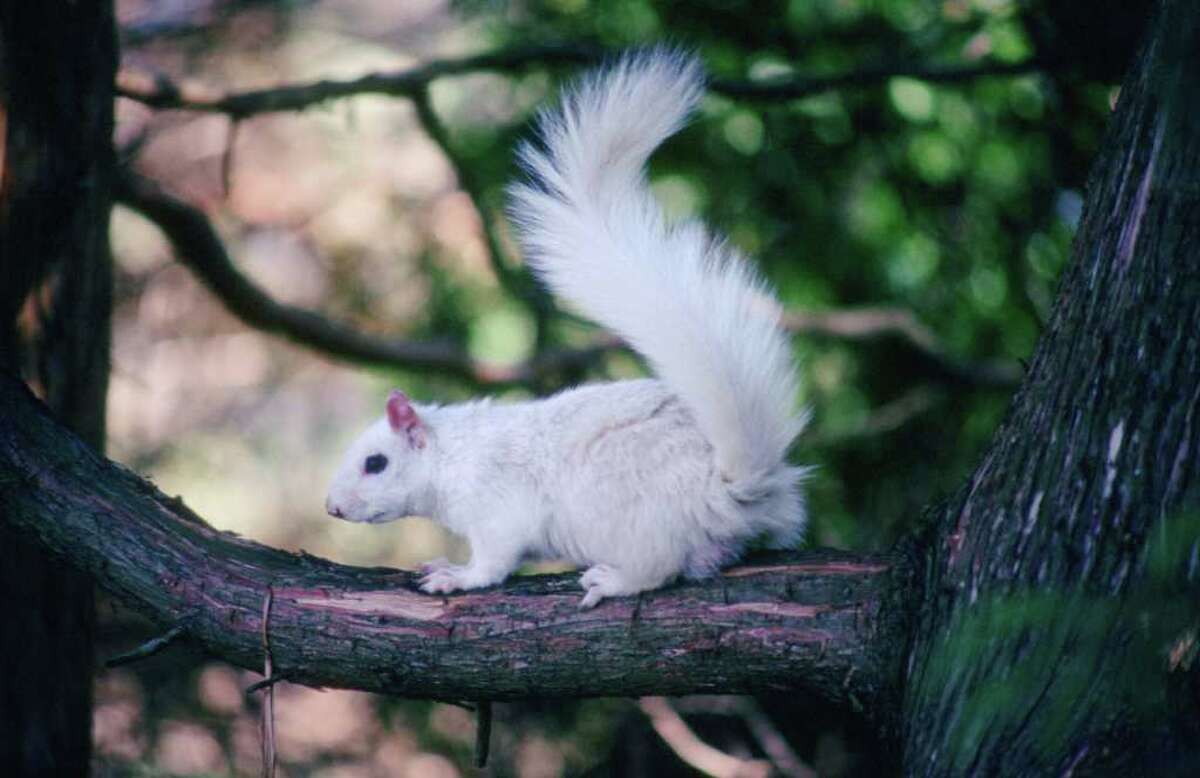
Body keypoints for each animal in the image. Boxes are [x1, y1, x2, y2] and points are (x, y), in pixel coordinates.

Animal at [325, 49, 809, 608]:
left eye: (375, 463)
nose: (331, 508)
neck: (452, 454)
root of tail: (729, 489)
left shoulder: (496, 504)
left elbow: (494, 561)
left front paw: (456, 575)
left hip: (632, 517)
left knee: (660, 566)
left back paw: (613, 580)